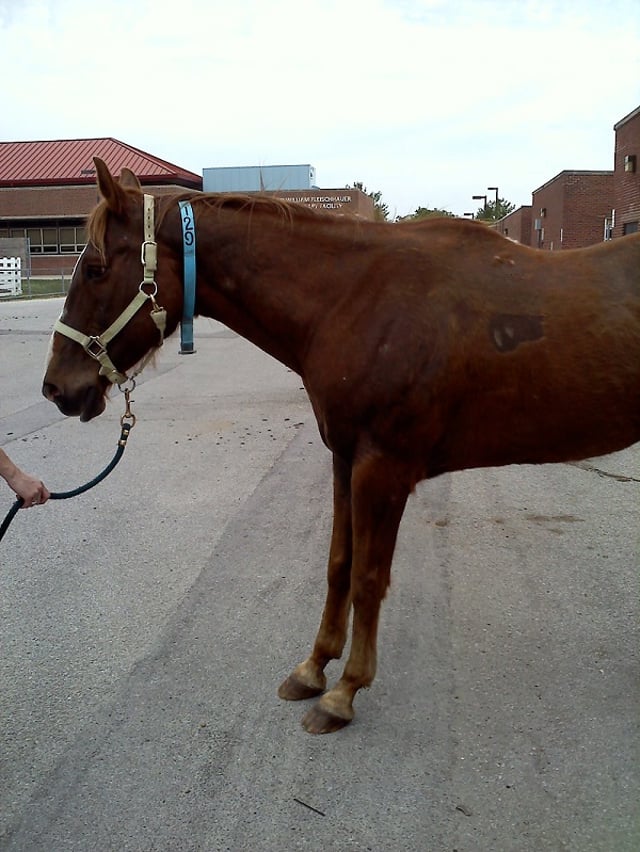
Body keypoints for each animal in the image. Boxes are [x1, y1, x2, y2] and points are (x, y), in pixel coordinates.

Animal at [42, 158, 640, 734]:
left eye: (95, 269)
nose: (55, 388)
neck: (355, 302)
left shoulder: (383, 469)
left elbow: (369, 578)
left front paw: (344, 692)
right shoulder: (345, 459)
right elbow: (339, 566)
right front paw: (312, 668)